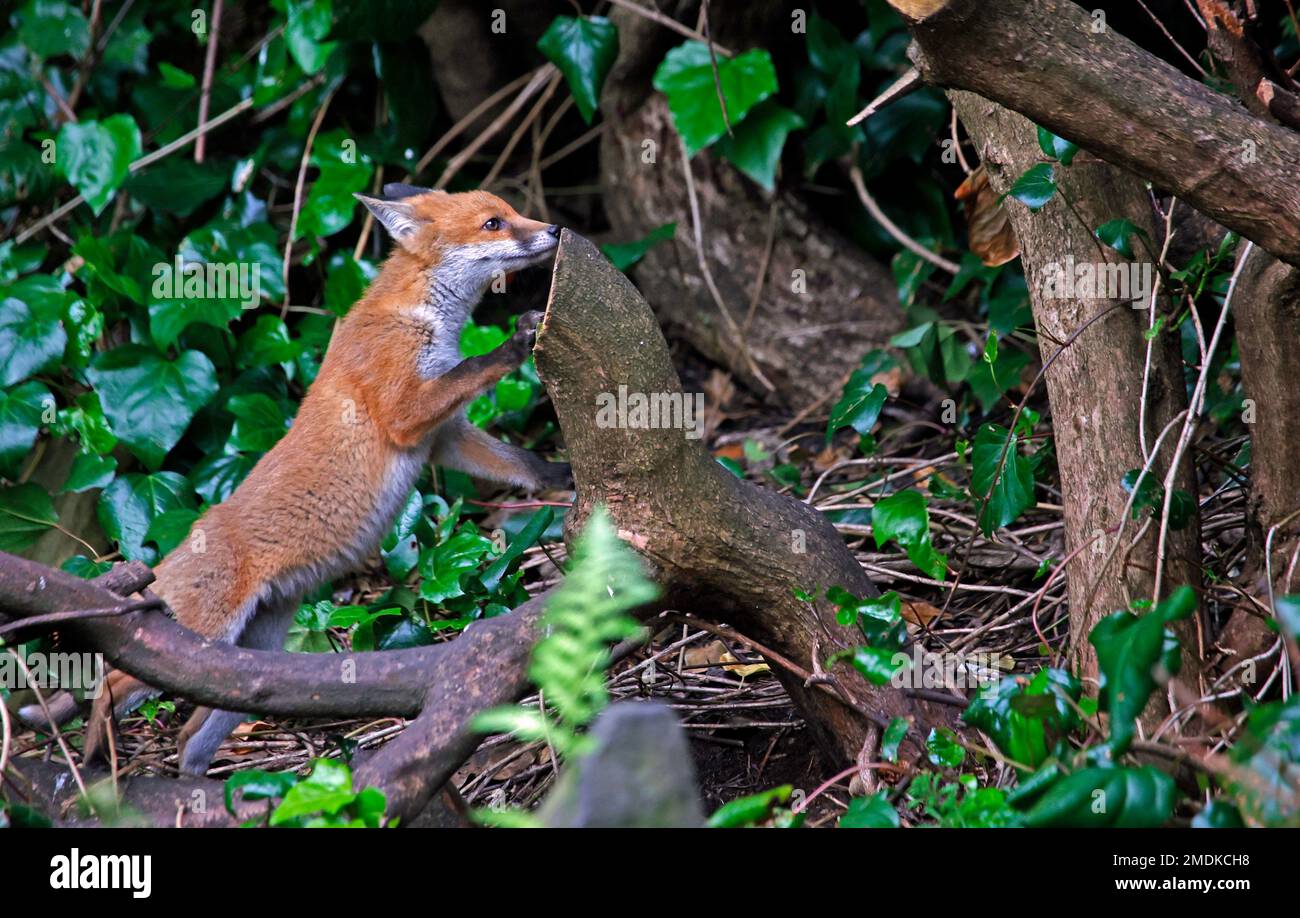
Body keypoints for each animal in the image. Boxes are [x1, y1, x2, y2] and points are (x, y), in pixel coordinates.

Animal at [77, 184, 570, 775]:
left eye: (512, 212)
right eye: (494, 222)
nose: (556, 229)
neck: (423, 316)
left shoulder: (443, 437)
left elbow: (520, 464)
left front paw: (561, 475)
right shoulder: (405, 415)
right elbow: (477, 366)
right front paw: (516, 342)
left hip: (252, 657)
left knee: (191, 734)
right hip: (201, 635)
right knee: (109, 680)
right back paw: (94, 759)